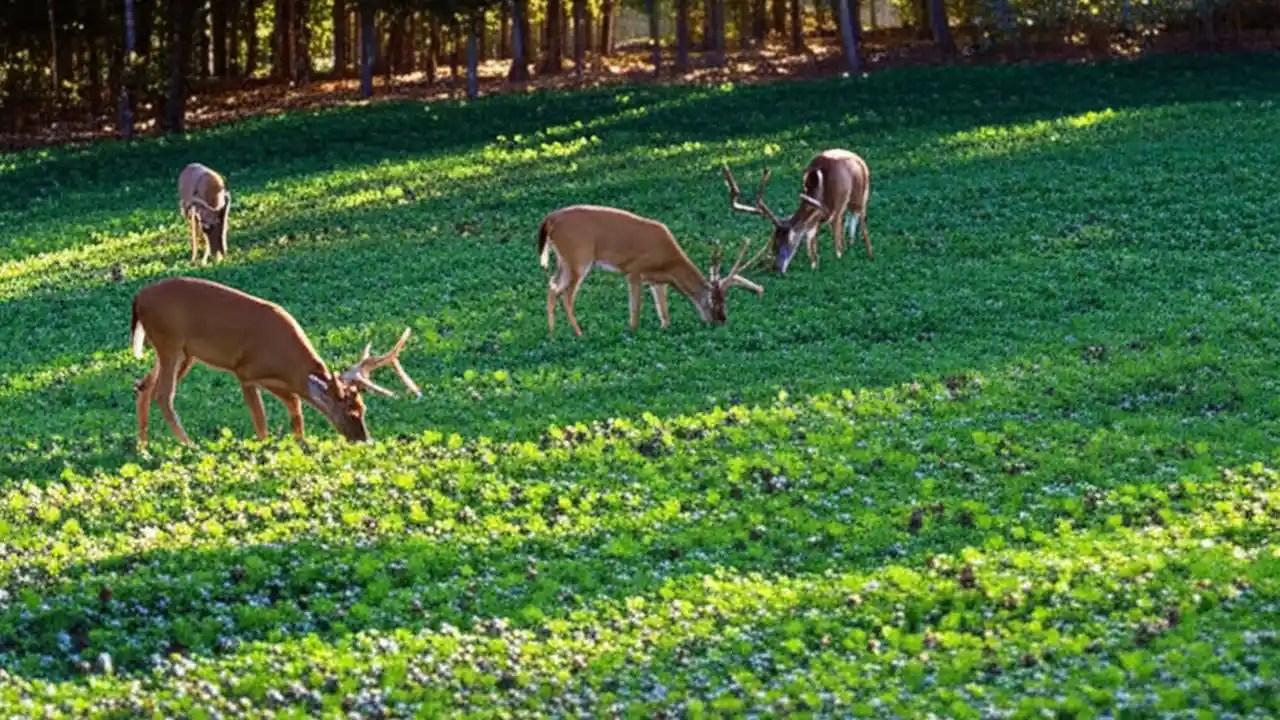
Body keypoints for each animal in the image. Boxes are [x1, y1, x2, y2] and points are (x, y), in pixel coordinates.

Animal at [129, 276, 421, 447]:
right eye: (351, 413)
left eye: (363, 408)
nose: (365, 440)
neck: (287, 360)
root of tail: (138, 298)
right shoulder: (245, 371)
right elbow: (261, 419)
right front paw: (265, 448)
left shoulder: (280, 380)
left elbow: (295, 406)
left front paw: (301, 444)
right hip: (170, 343)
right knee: (163, 394)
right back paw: (190, 445)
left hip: (183, 352)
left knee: (144, 386)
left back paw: (144, 447)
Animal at [537, 205, 768, 337]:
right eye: (717, 302)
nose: (722, 320)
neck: (668, 262)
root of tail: (550, 219)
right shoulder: (634, 270)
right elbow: (635, 308)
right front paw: (633, 331)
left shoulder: (656, 280)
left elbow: (663, 311)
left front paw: (664, 327)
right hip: (580, 257)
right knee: (565, 293)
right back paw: (579, 333)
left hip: (564, 261)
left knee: (552, 286)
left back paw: (553, 333)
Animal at [723, 149, 872, 274]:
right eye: (773, 244)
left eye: (784, 242)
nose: (777, 268)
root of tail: (859, 159)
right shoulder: (815, 220)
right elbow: (811, 243)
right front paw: (814, 265)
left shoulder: (835, 208)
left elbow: (836, 245)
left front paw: (838, 260)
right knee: (851, 218)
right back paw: (851, 244)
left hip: (859, 197)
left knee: (861, 221)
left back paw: (868, 253)